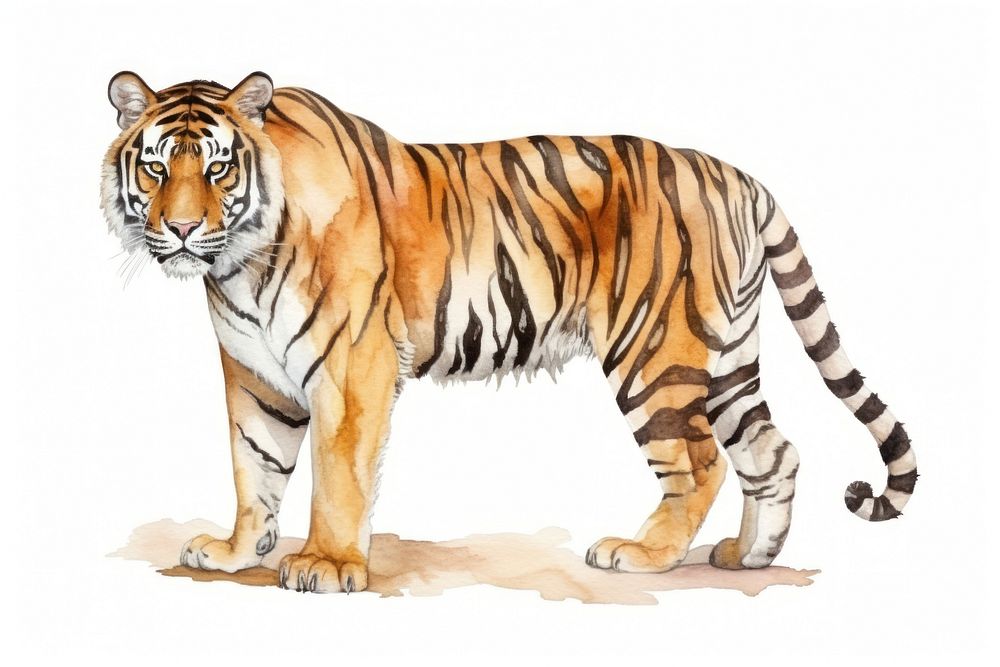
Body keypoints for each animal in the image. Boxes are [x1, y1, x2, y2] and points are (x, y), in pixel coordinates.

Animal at [101, 71, 917, 594]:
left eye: (216, 169)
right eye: (155, 169)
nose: (181, 228)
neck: (239, 262)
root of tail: (740, 177)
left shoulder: (351, 363)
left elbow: (336, 474)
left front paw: (327, 565)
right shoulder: (256, 374)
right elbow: (255, 466)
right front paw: (237, 550)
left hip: (656, 354)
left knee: (700, 461)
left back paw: (641, 553)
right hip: (726, 358)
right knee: (773, 451)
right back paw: (748, 555)